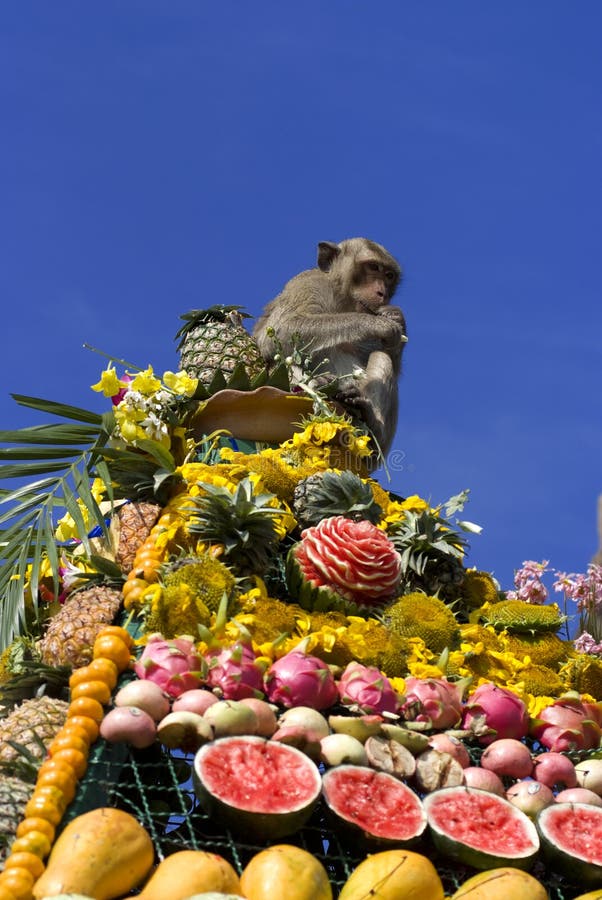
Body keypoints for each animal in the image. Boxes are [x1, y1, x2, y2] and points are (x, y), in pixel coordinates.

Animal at [251, 237, 406, 458]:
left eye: (389, 276)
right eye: (373, 267)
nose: (382, 293)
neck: (343, 300)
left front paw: (395, 316)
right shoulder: (308, 283)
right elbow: (279, 331)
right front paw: (377, 324)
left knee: (381, 356)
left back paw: (371, 421)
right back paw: (317, 385)